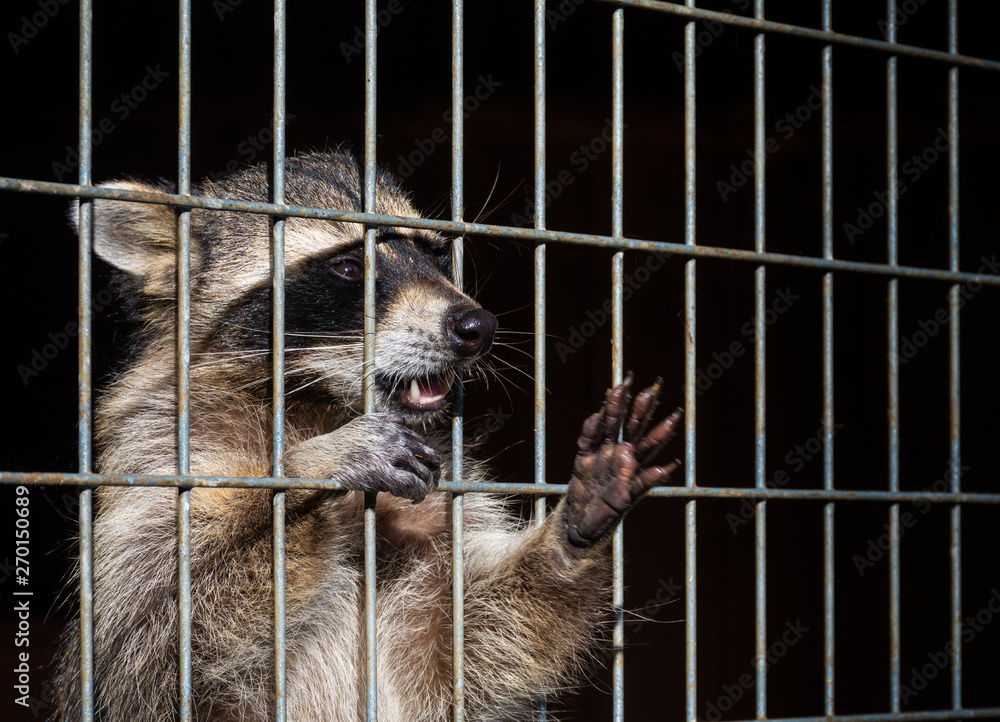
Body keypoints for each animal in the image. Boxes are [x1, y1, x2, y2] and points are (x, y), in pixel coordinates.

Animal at [52, 149, 681, 721]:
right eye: (349, 268)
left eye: (432, 253)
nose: (477, 326)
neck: (321, 404)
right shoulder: (161, 457)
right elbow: (155, 638)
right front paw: (311, 469)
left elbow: (473, 643)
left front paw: (568, 538)